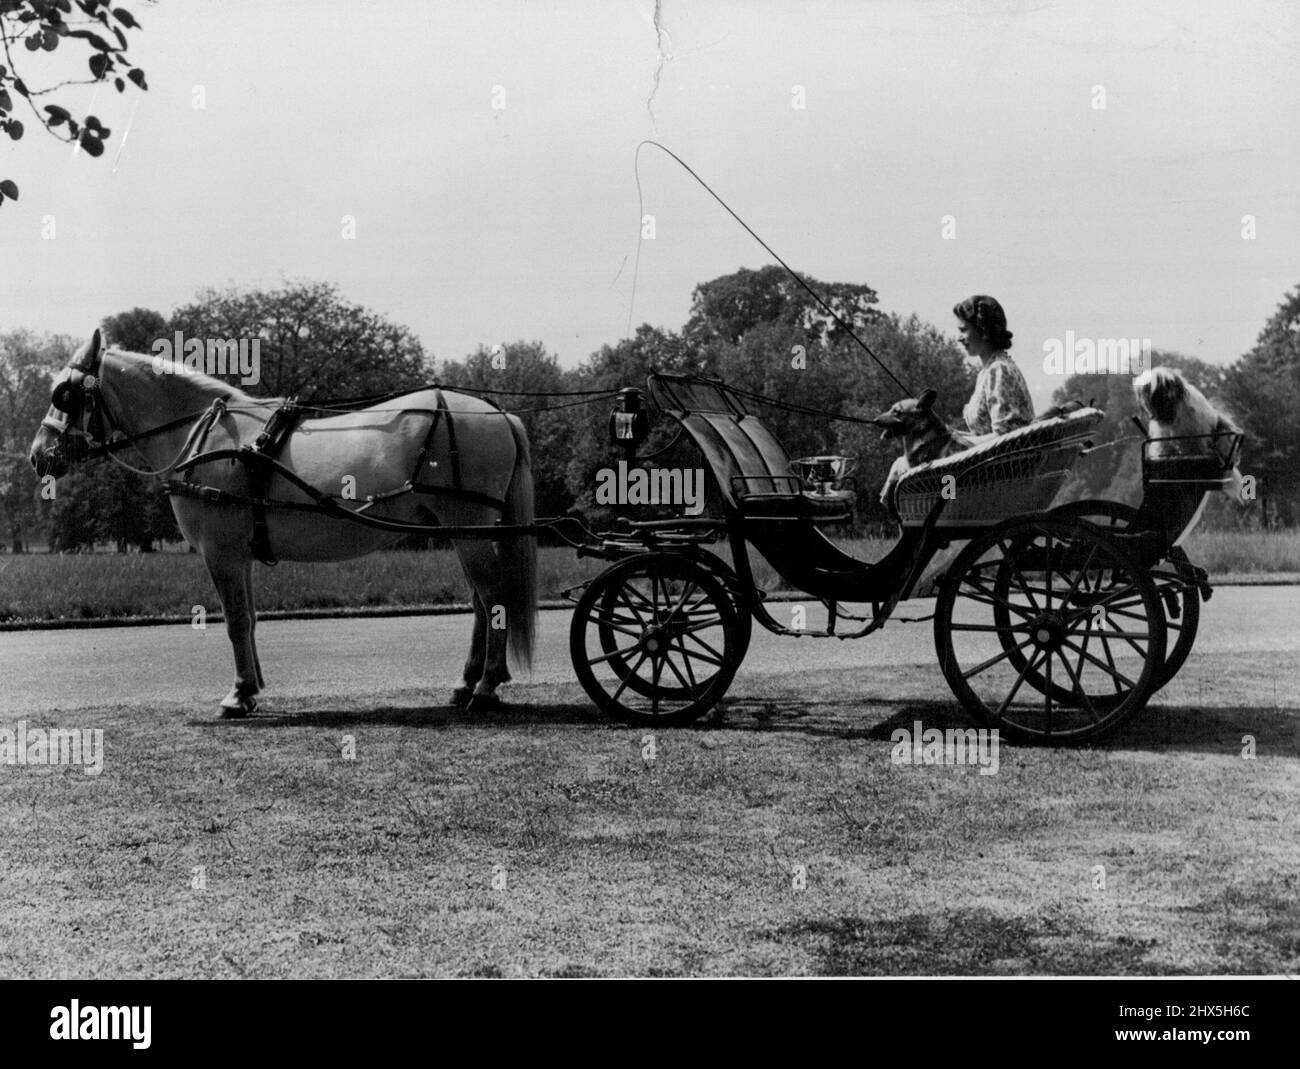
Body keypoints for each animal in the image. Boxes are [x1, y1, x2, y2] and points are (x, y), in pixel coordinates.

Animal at [29, 329, 538, 718]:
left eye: (63, 395)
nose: (38, 455)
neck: (207, 437)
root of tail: (499, 414)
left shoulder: (222, 552)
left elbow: (235, 619)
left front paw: (237, 695)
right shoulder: (239, 554)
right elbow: (250, 618)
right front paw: (252, 688)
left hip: (468, 527)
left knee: (493, 598)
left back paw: (486, 687)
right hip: (460, 531)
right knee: (481, 602)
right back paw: (467, 682)